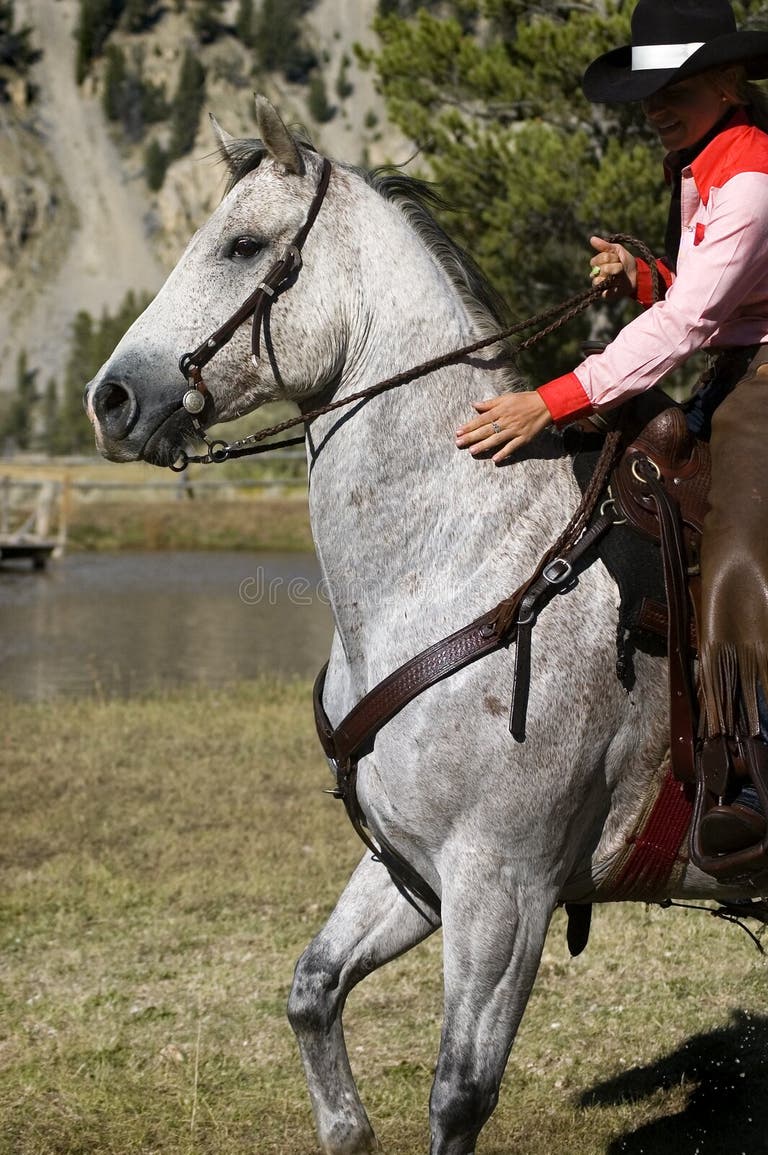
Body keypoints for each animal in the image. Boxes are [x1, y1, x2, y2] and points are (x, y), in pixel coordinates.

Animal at [85, 97, 757, 1155]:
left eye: (242, 244)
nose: (110, 399)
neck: (464, 559)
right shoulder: (408, 868)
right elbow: (312, 992)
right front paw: (347, 1124)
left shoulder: (504, 888)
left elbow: (459, 1092)